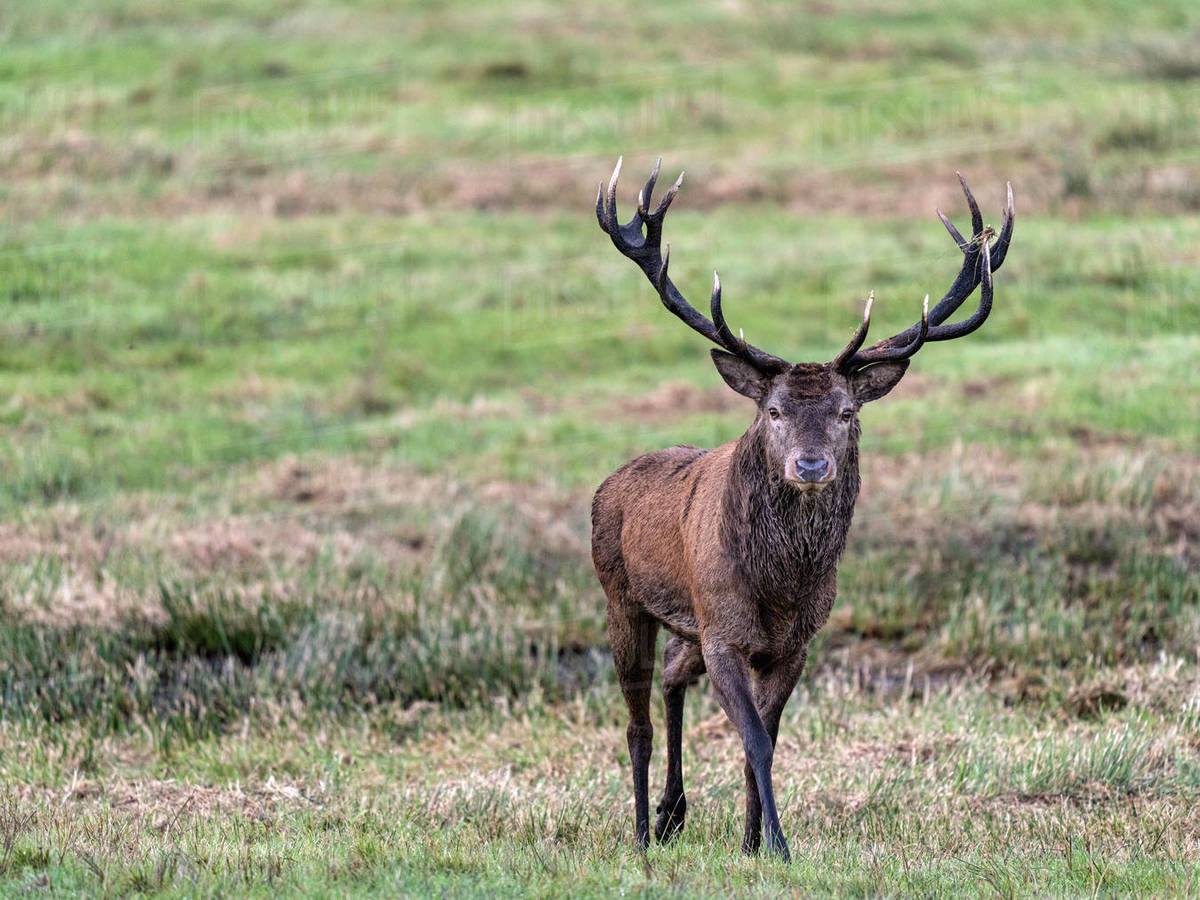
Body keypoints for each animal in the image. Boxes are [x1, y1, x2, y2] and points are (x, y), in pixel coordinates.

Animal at [590, 157, 1013, 861]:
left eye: (846, 412)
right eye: (773, 409)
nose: (811, 465)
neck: (780, 588)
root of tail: (608, 484)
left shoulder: (794, 645)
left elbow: (760, 743)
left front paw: (751, 843)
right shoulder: (725, 631)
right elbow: (756, 742)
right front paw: (780, 847)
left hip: (687, 624)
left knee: (674, 676)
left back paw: (674, 814)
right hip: (622, 597)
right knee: (636, 723)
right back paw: (644, 835)